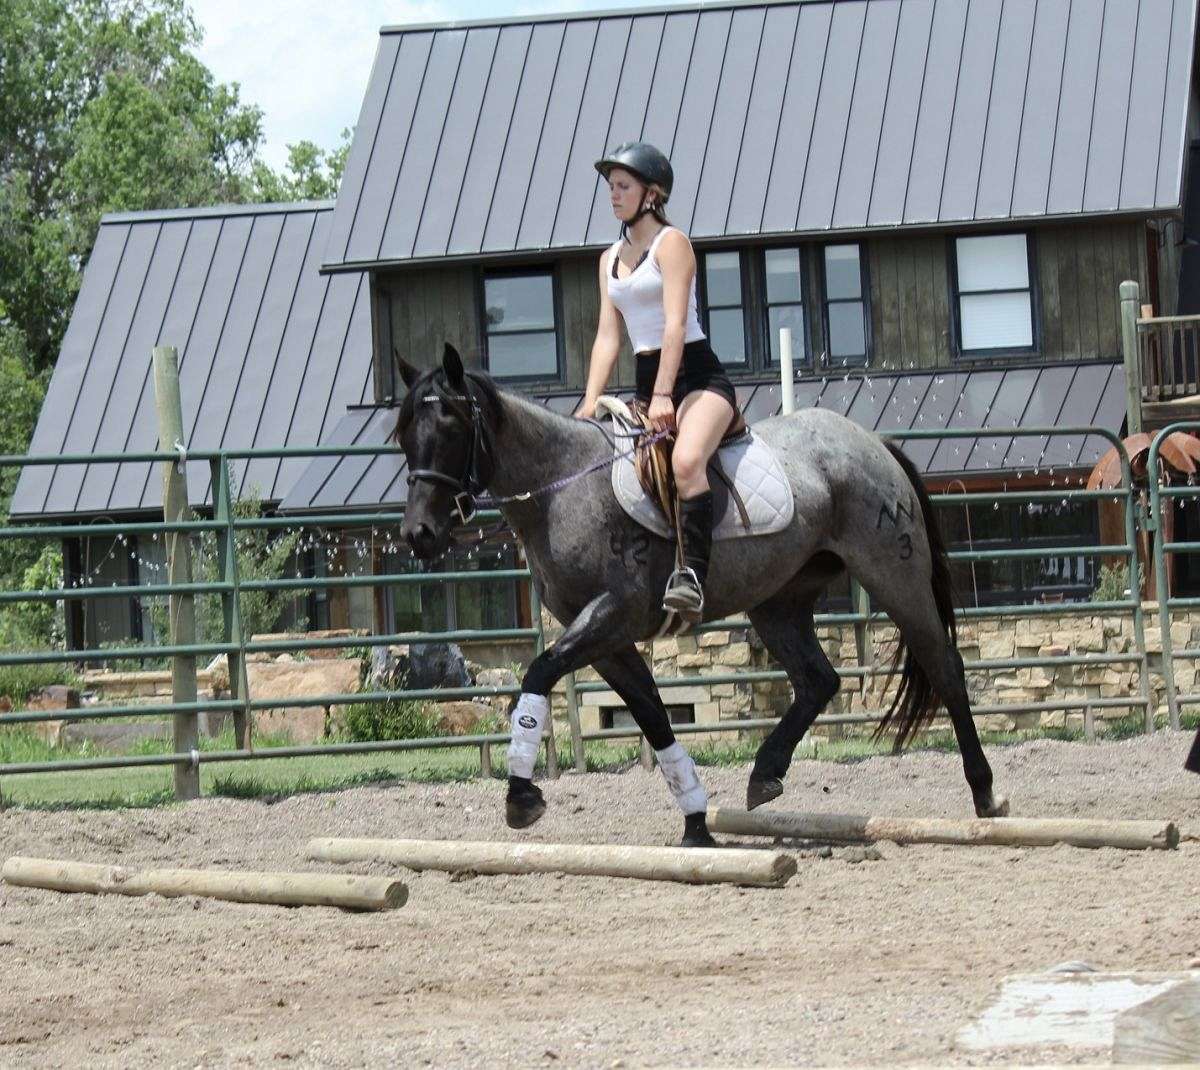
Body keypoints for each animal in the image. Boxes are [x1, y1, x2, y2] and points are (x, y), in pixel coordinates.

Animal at [396, 344, 1009, 846]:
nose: (418, 534)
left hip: (892, 574)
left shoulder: (612, 615)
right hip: (778, 601)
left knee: (944, 665)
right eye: (404, 435)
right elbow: (653, 716)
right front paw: (696, 822)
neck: (563, 488)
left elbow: (541, 672)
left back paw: (985, 794)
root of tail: (872, 441)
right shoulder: (605, 638)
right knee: (819, 679)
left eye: (451, 427)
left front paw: (521, 797)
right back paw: (764, 775)